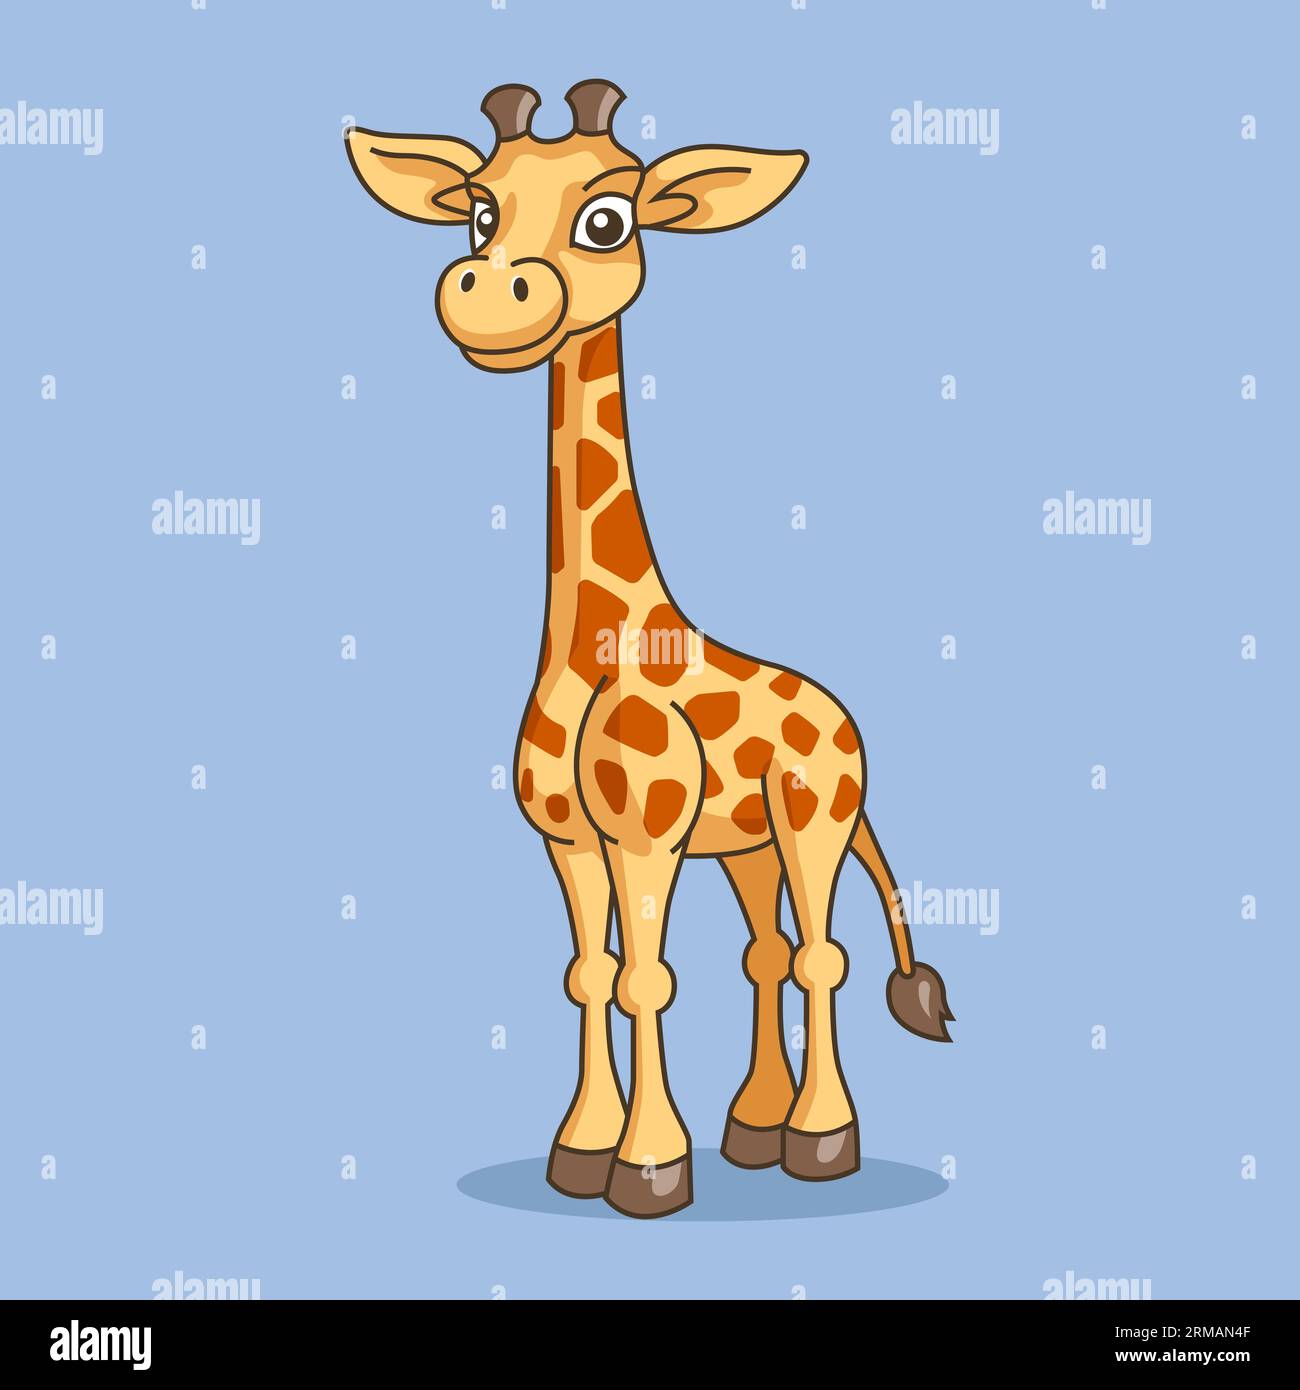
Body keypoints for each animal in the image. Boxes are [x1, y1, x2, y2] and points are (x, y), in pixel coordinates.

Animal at [346, 80, 955, 1219]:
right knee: (767, 949)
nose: (487, 294)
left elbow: (644, 977)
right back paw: (755, 1133)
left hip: (814, 818)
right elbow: (591, 972)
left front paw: (649, 1168)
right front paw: (582, 1153)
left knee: (820, 950)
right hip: (749, 845)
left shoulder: (647, 833)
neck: (598, 640)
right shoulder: (568, 837)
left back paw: (821, 1141)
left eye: (607, 221)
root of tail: (846, 719)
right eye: (477, 214)